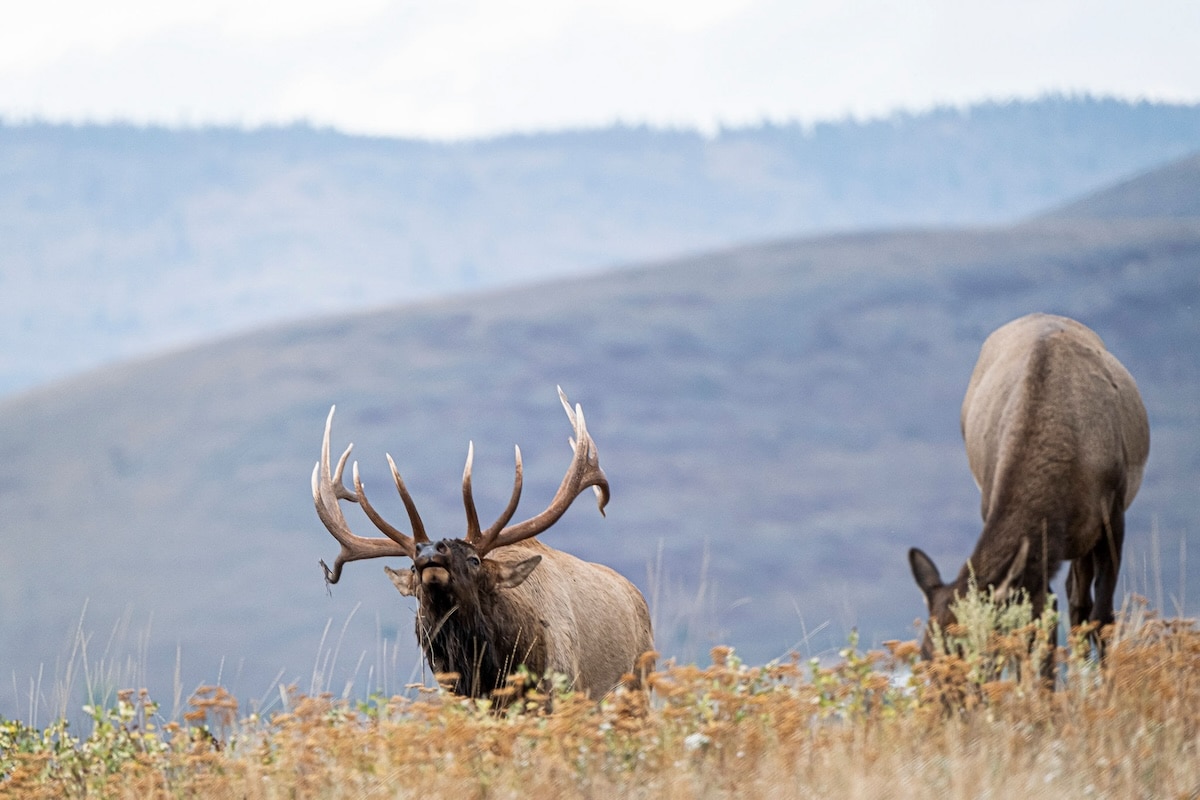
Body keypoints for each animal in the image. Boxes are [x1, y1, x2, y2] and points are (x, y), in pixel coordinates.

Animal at [908, 313, 1150, 665]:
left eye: (980, 647)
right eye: (926, 654)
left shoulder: (1113, 514)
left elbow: (1103, 617)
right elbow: (1038, 621)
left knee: (1082, 601)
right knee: (1071, 596)